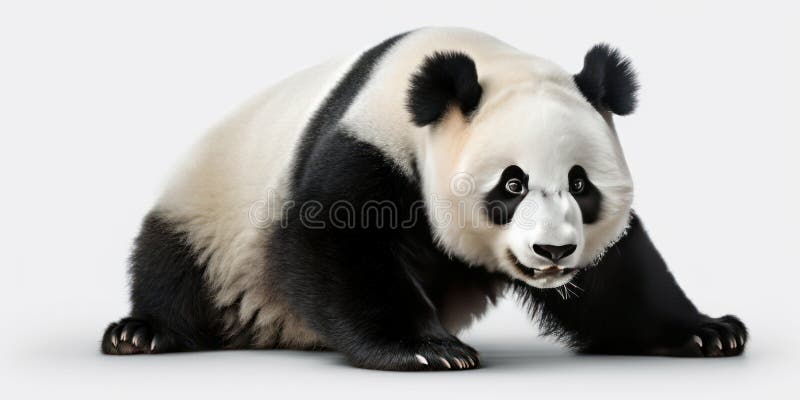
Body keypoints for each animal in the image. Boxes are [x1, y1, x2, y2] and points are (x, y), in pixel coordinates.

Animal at [102, 27, 747, 370]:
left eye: (581, 184)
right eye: (512, 184)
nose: (553, 253)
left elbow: (620, 277)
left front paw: (708, 331)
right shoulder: (367, 142)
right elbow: (333, 245)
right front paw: (429, 349)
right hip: (209, 201)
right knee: (171, 264)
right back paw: (143, 333)